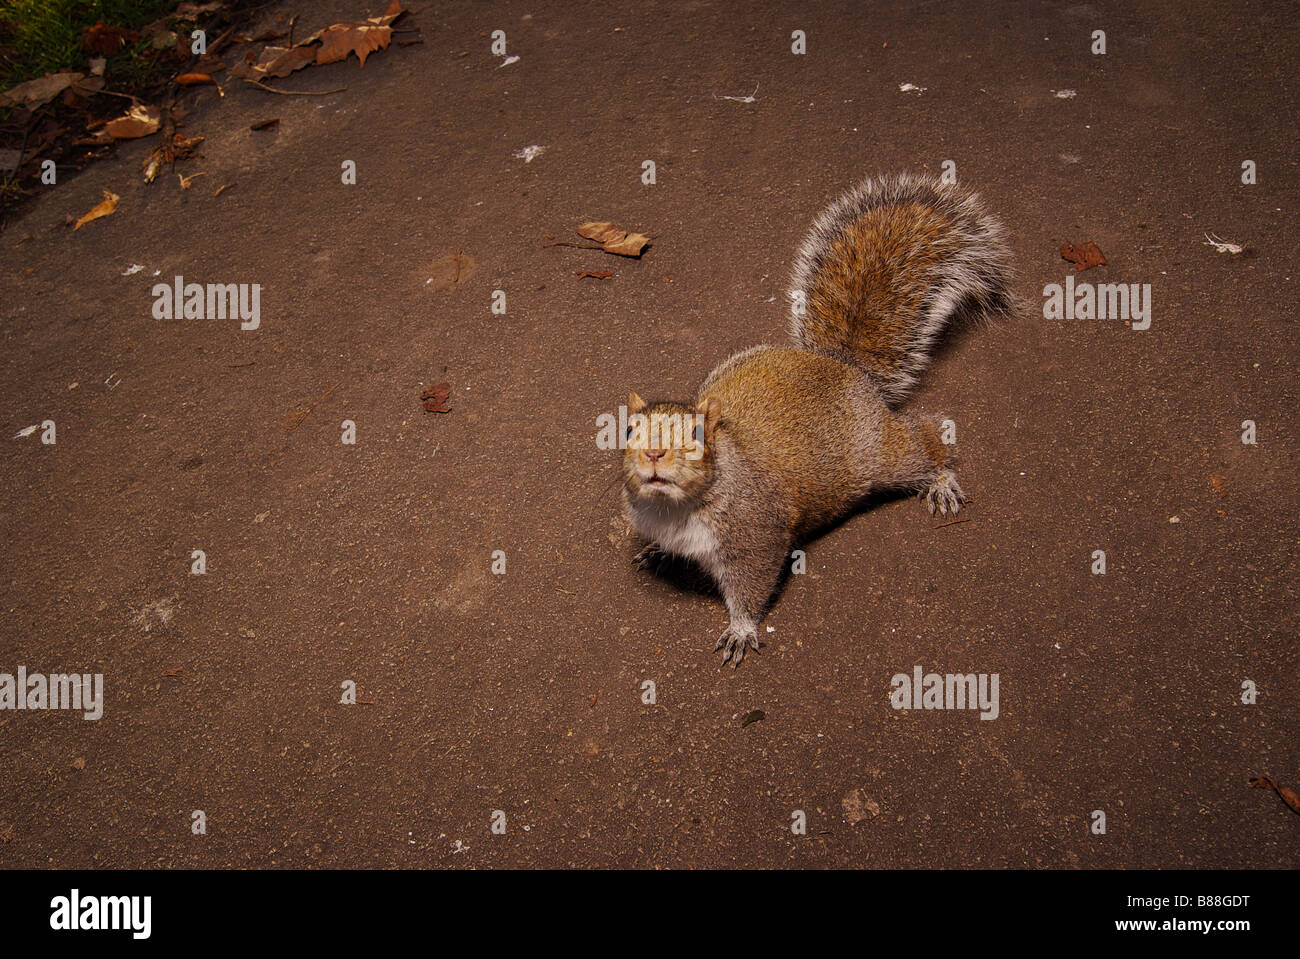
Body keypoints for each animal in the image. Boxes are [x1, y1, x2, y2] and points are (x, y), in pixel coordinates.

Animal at [621, 173, 1014, 666]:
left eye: (697, 434)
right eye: (628, 430)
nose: (654, 454)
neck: (674, 509)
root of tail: (842, 368)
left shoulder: (757, 533)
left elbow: (751, 587)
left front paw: (741, 630)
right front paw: (658, 551)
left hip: (880, 453)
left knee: (924, 440)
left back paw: (942, 481)